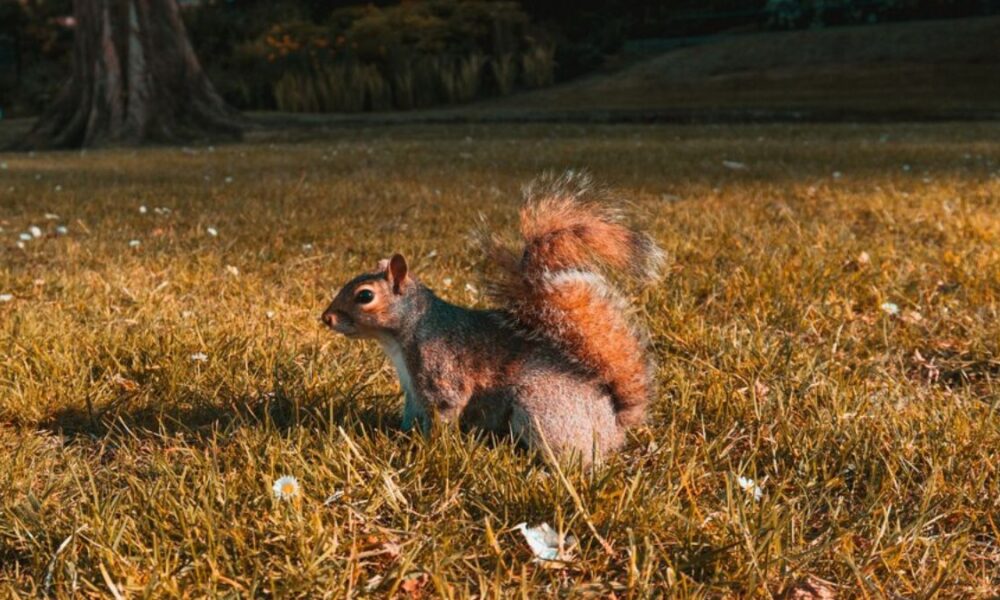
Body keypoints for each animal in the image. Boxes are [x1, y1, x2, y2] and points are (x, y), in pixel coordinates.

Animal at [321, 172, 664, 465]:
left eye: (365, 296)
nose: (326, 318)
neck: (404, 333)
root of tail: (613, 426)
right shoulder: (412, 388)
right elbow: (412, 414)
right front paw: (401, 438)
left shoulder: (442, 373)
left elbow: (444, 411)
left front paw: (429, 449)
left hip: (543, 411)